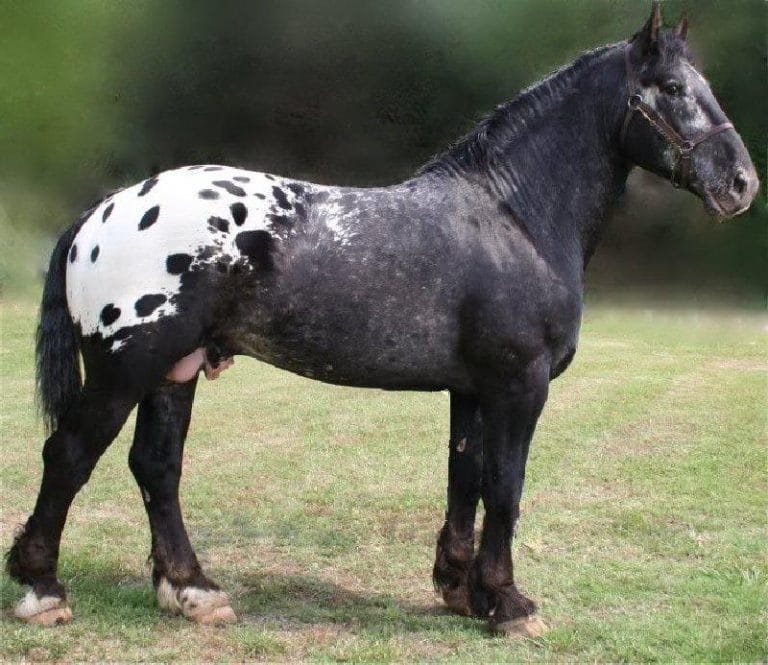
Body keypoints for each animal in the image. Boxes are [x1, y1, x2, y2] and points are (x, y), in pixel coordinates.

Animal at [7, 3, 757, 636]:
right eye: (671, 87)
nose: (741, 183)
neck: (513, 218)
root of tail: (102, 212)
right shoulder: (519, 384)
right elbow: (505, 487)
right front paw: (508, 603)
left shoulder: (473, 390)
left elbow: (465, 479)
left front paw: (460, 591)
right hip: (125, 369)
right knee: (69, 456)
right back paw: (43, 590)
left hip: (175, 370)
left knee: (156, 467)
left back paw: (193, 591)